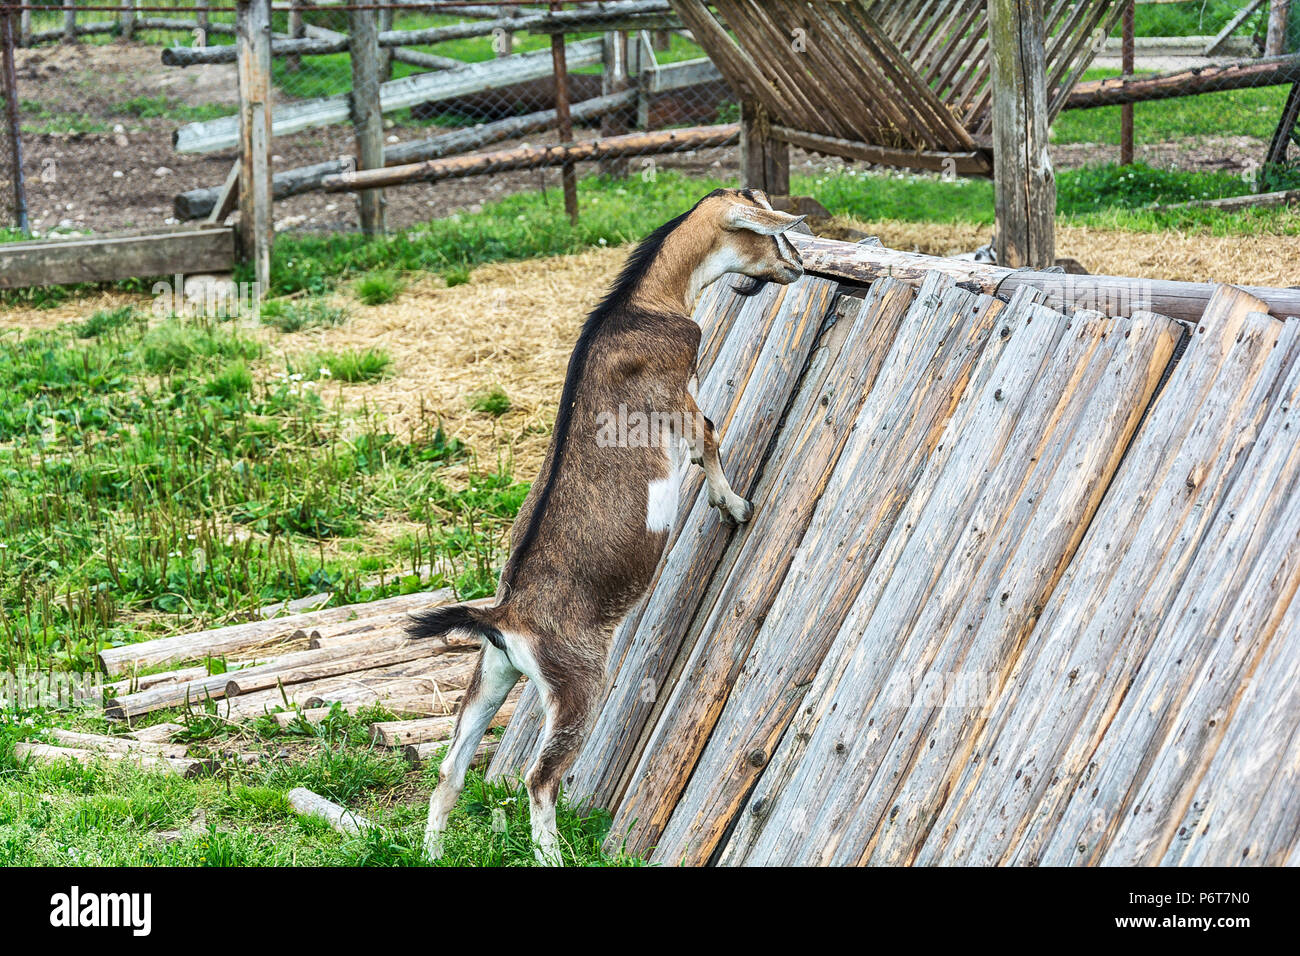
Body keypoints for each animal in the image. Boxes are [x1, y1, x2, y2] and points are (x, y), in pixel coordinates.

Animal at [408, 188, 805, 864]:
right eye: (771, 231)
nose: (798, 266)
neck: (644, 305)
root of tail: (504, 619)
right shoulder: (679, 400)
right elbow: (711, 438)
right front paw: (735, 507)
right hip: (578, 685)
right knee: (539, 779)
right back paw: (552, 853)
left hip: (492, 675)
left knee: (450, 770)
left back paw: (433, 850)